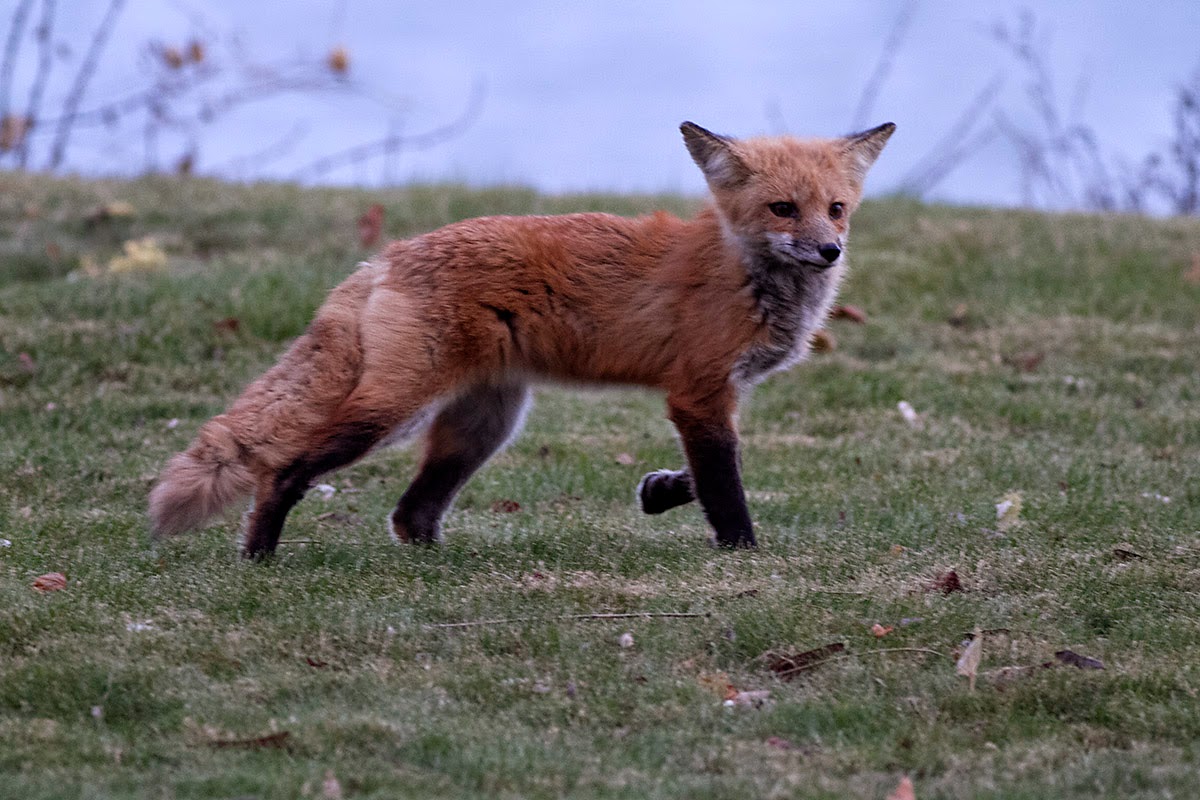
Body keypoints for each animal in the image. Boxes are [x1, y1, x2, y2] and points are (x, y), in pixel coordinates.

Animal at [149, 120, 895, 558]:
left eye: (836, 209)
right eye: (782, 209)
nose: (829, 251)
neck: (746, 273)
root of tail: (385, 257)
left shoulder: (713, 400)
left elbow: (706, 473)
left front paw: (661, 491)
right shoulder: (699, 391)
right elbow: (725, 483)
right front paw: (743, 551)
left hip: (483, 425)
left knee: (409, 513)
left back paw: (433, 566)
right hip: (393, 412)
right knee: (286, 467)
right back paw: (259, 552)